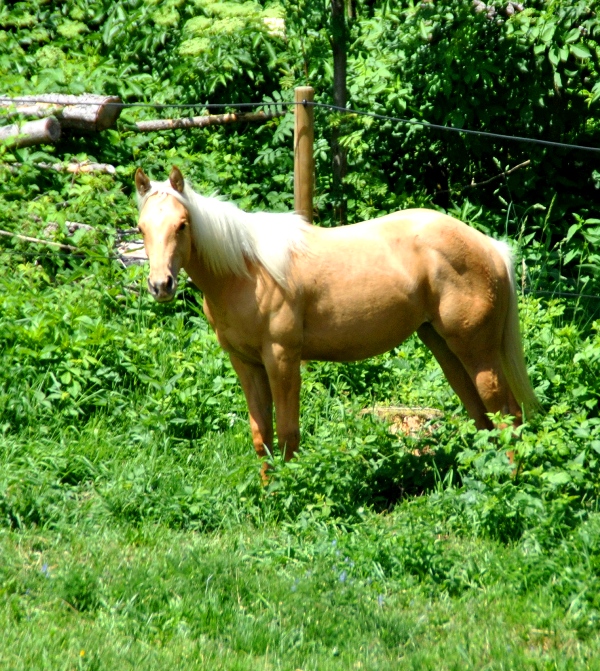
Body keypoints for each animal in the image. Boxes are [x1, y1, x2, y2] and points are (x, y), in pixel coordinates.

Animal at [135, 166, 540, 474]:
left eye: (182, 224)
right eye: (141, 227)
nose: (160, 285)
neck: (247, 271)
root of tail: (490, 247)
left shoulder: (282, 358)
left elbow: (288, 432)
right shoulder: (245, 363)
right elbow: (261, 435)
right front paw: (268, 491)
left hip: (477, 352)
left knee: (507, 414)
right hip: (445, 350)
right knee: (483, 418)